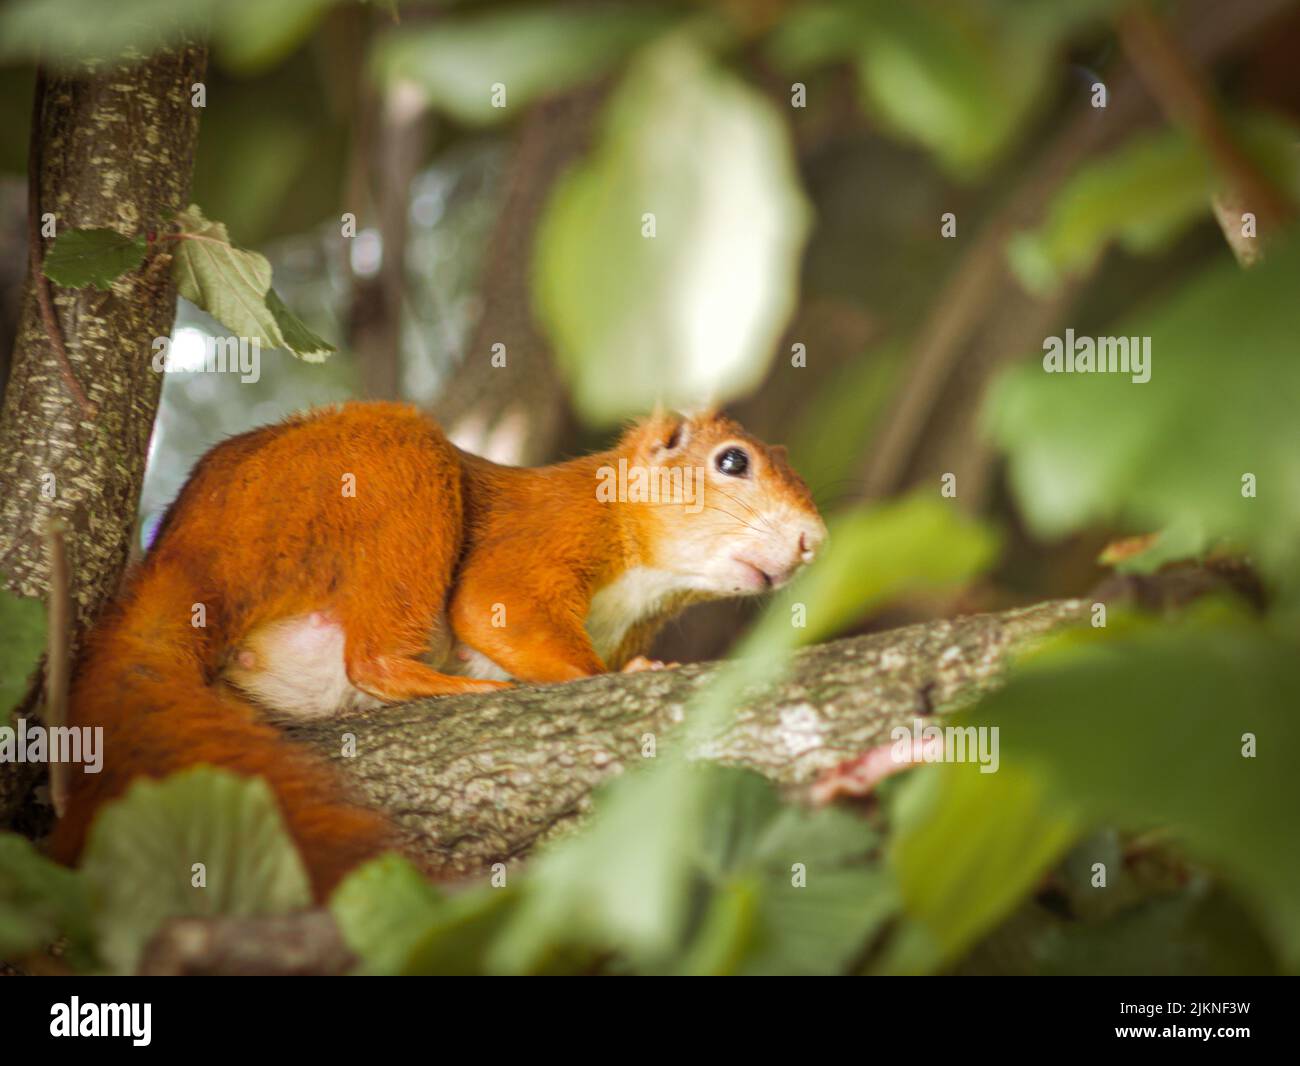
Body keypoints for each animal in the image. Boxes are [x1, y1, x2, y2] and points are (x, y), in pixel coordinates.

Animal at [50, 402, 826, 898]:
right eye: (733, 462)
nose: (812, 541)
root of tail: (185, 561)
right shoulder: (546, 534)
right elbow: (493, 608)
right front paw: (617, 674)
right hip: (379, 471)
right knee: (370, 659)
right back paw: (462, 688)